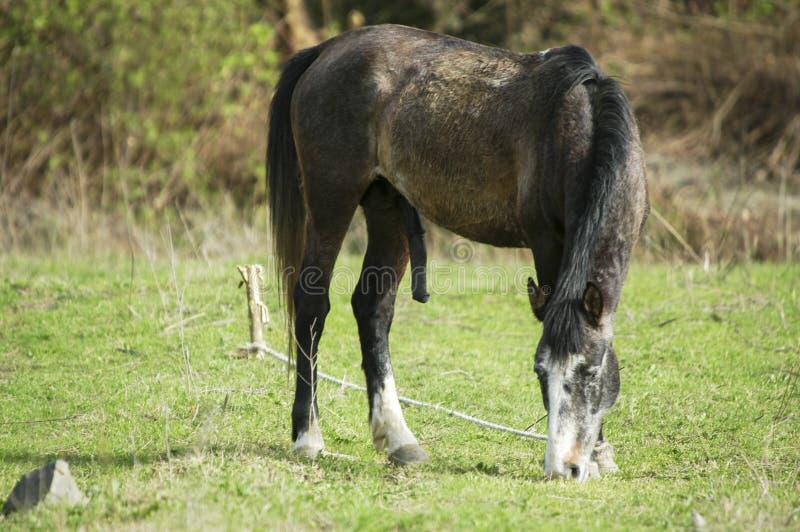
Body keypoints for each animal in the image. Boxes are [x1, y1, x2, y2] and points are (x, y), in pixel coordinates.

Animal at [266, 24, 648, 481]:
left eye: (590, 371)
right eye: (540, 372)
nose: (564, 468)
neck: (581, 132)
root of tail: (327, 50)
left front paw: (599, 454)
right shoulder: (547, 244)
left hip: (387, 203)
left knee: (373, 308)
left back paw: (399, 439)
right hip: (331, 200)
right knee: (311, 306)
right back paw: (308, 436)